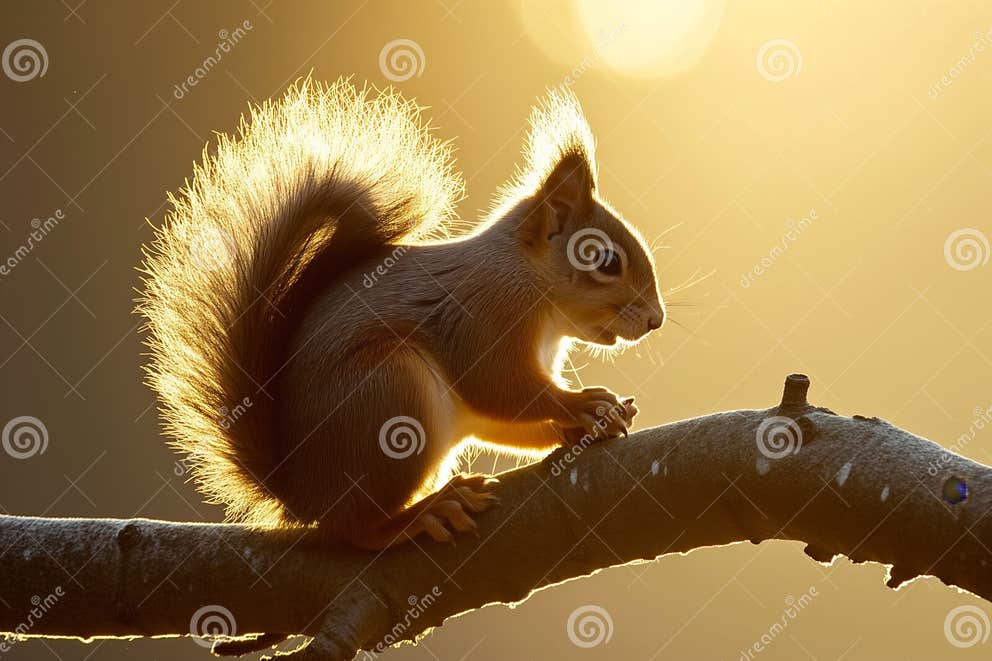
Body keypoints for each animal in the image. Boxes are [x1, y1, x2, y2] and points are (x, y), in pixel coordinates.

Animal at [139, 77, 665, 552]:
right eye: (606, 260)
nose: (656, 320)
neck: (534, 290)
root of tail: (300, 496)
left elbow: (500, 420)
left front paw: (590, 424)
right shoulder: (484, 315)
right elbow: (499, 389)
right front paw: (581, 404)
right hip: (390, 393)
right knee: (358, 530)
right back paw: (424, 514)